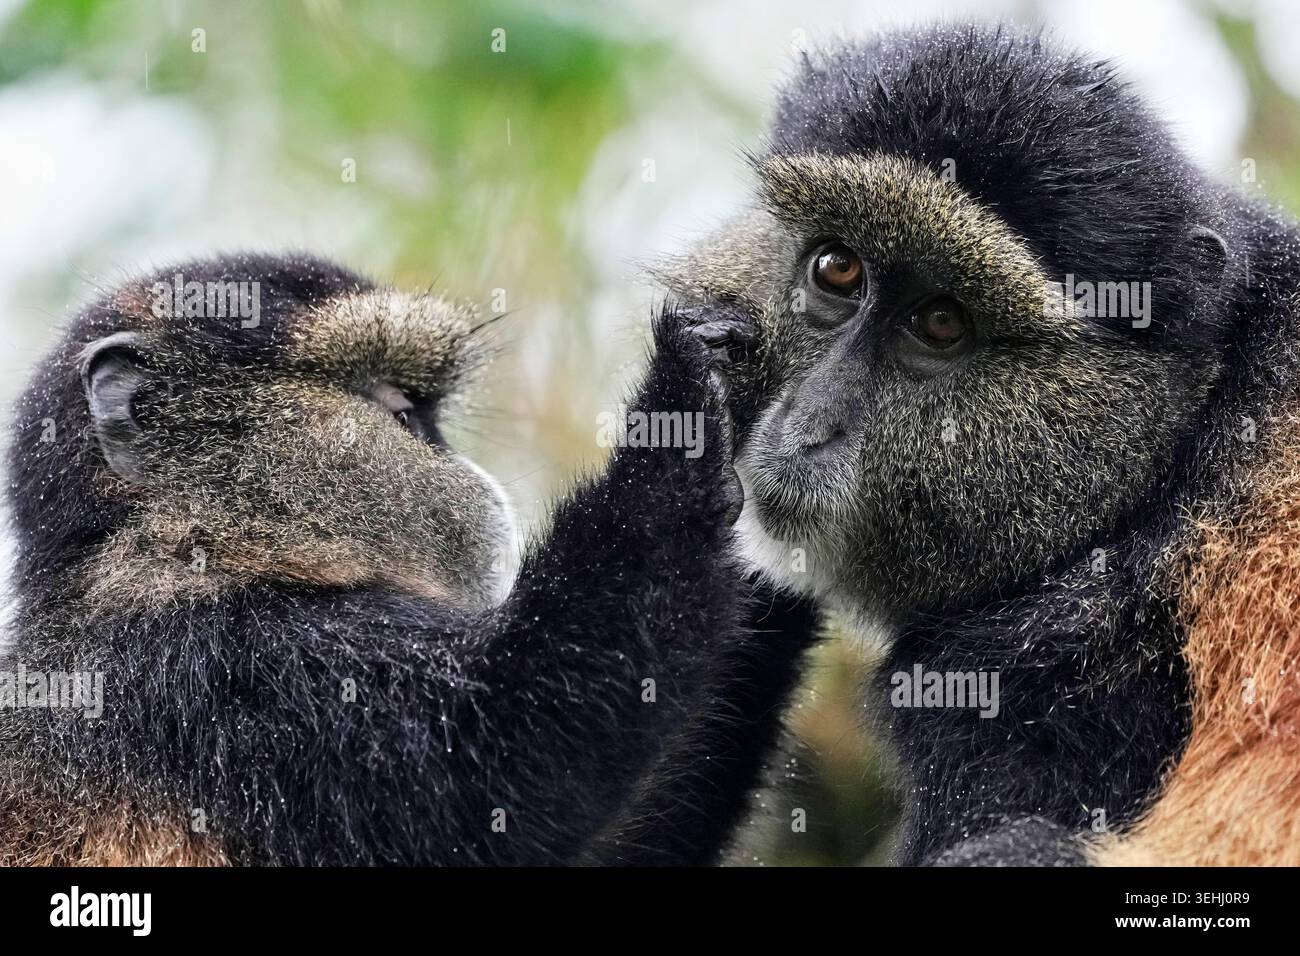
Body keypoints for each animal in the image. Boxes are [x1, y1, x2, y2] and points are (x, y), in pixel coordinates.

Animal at [0, 251, 820, 866]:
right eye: (397, 407)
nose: (457, 462)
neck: (166, 551)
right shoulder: (226, 675)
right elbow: (503, 762)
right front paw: (686, 390)